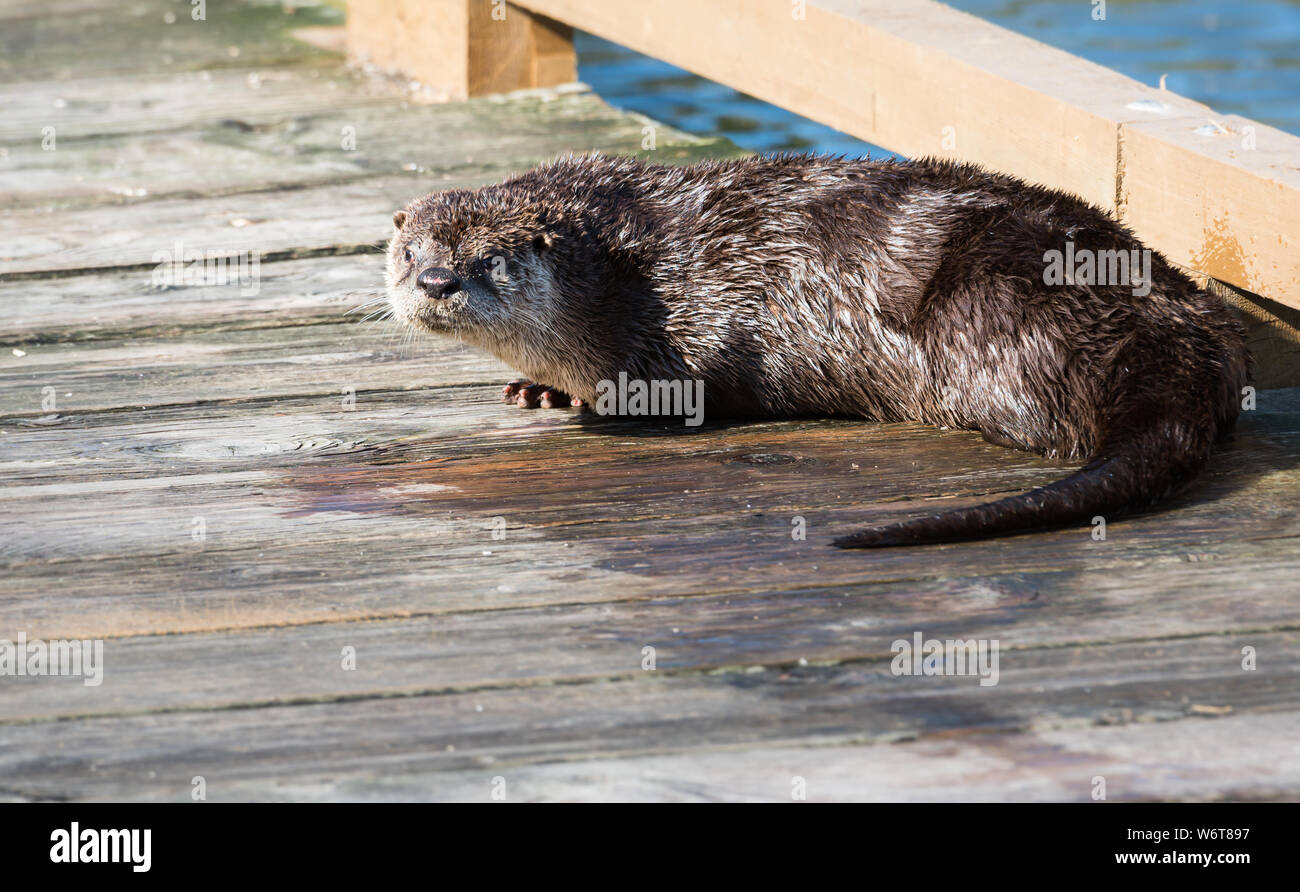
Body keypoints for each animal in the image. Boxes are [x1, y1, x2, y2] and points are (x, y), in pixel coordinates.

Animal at [384, 153, 1248, 548]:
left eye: (492, 259)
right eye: (409, 250)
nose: (435, 280)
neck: (623, 274)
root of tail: (1175, 334)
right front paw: (540, 389)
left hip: (1001, 312)